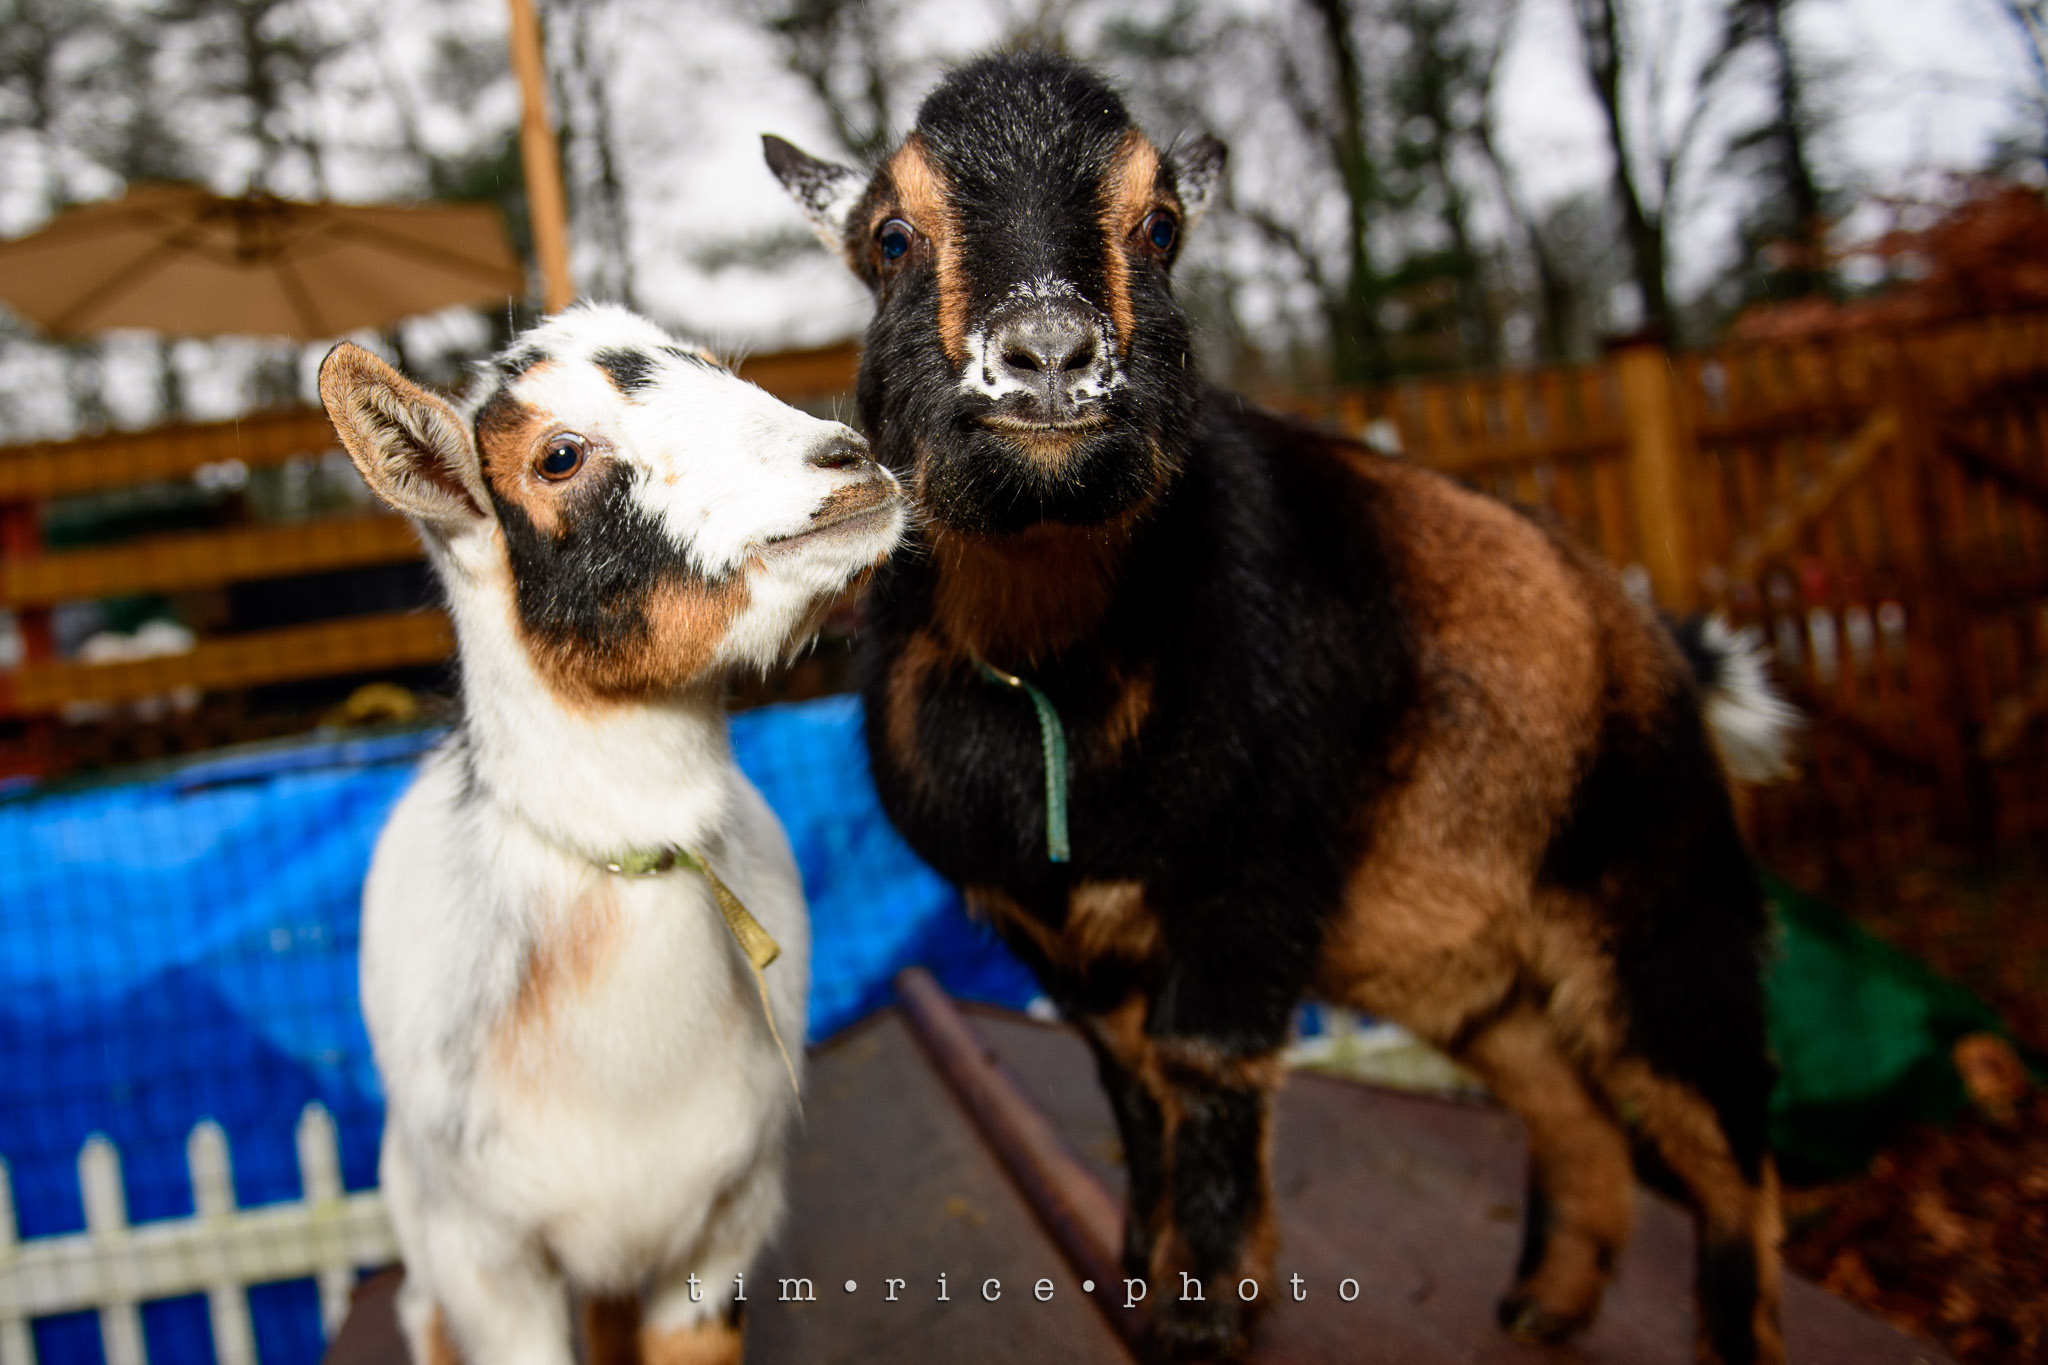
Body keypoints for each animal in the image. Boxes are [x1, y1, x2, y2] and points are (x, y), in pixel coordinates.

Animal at [318, 304, 904, 1365]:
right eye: (558, 455)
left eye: (712, 364)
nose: (848, 461)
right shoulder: (492, 1260)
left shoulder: (722, 1231)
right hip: (423, 1227)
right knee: (422, 1314)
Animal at [768, 53, 1797, 1365]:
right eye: (889, 236)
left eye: (1160, 224)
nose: (1048, 355)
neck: (1052, 677)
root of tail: (1653, 640)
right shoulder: (1048, 933)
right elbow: (1126, 1082)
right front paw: (1136, 1269)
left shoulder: (1251, 878)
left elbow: (1202, 1068)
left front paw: (1204, 1313)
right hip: (1469, 963)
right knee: (1568, 1106)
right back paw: (1543, 1305)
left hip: (1659, 905)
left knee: (1725, 1140)